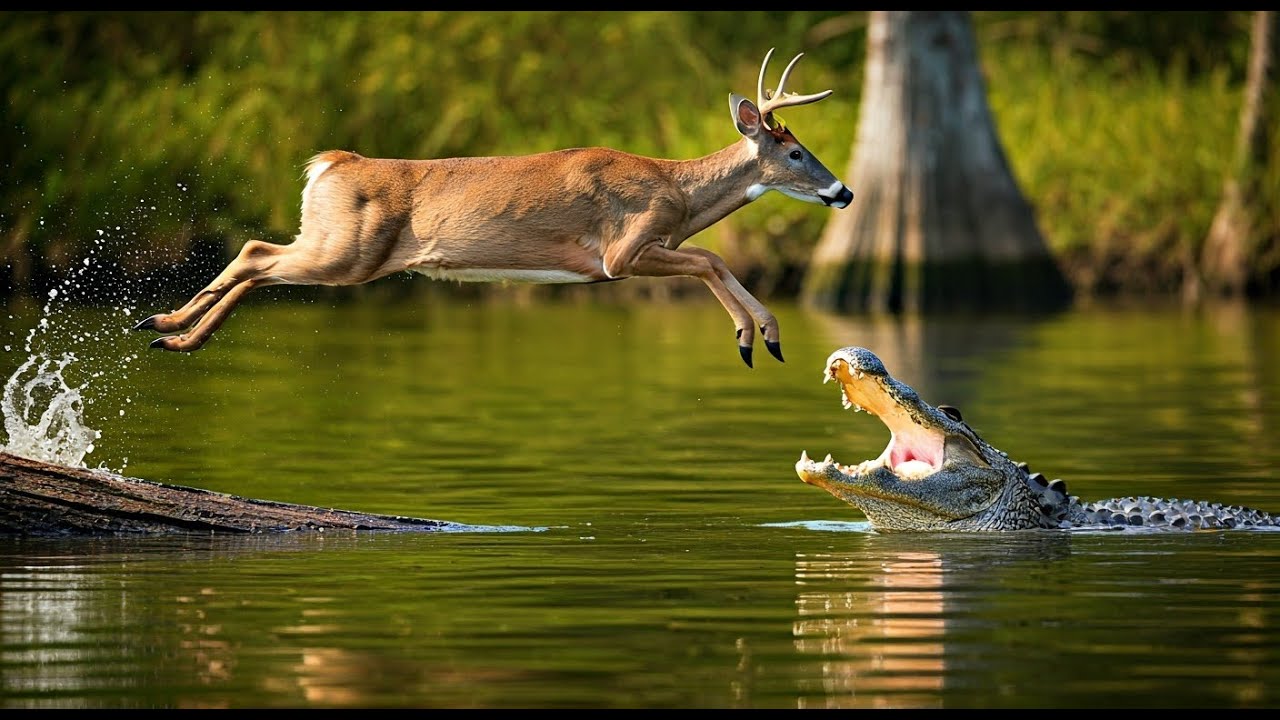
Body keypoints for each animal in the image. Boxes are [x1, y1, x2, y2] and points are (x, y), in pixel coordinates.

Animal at [135, 48, 853, 367]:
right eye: (795, 152)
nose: (843, 191)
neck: (675, 189)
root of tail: (331, 162)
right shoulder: (622, 251)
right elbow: (709, 258)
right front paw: (757, 336)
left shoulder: (639, 252)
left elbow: (713, 260)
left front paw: (761, 337)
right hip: (348, 252)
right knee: (257, 255)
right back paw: (170, 323)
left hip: (336, 244)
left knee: (258, 257)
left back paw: (170, 331)